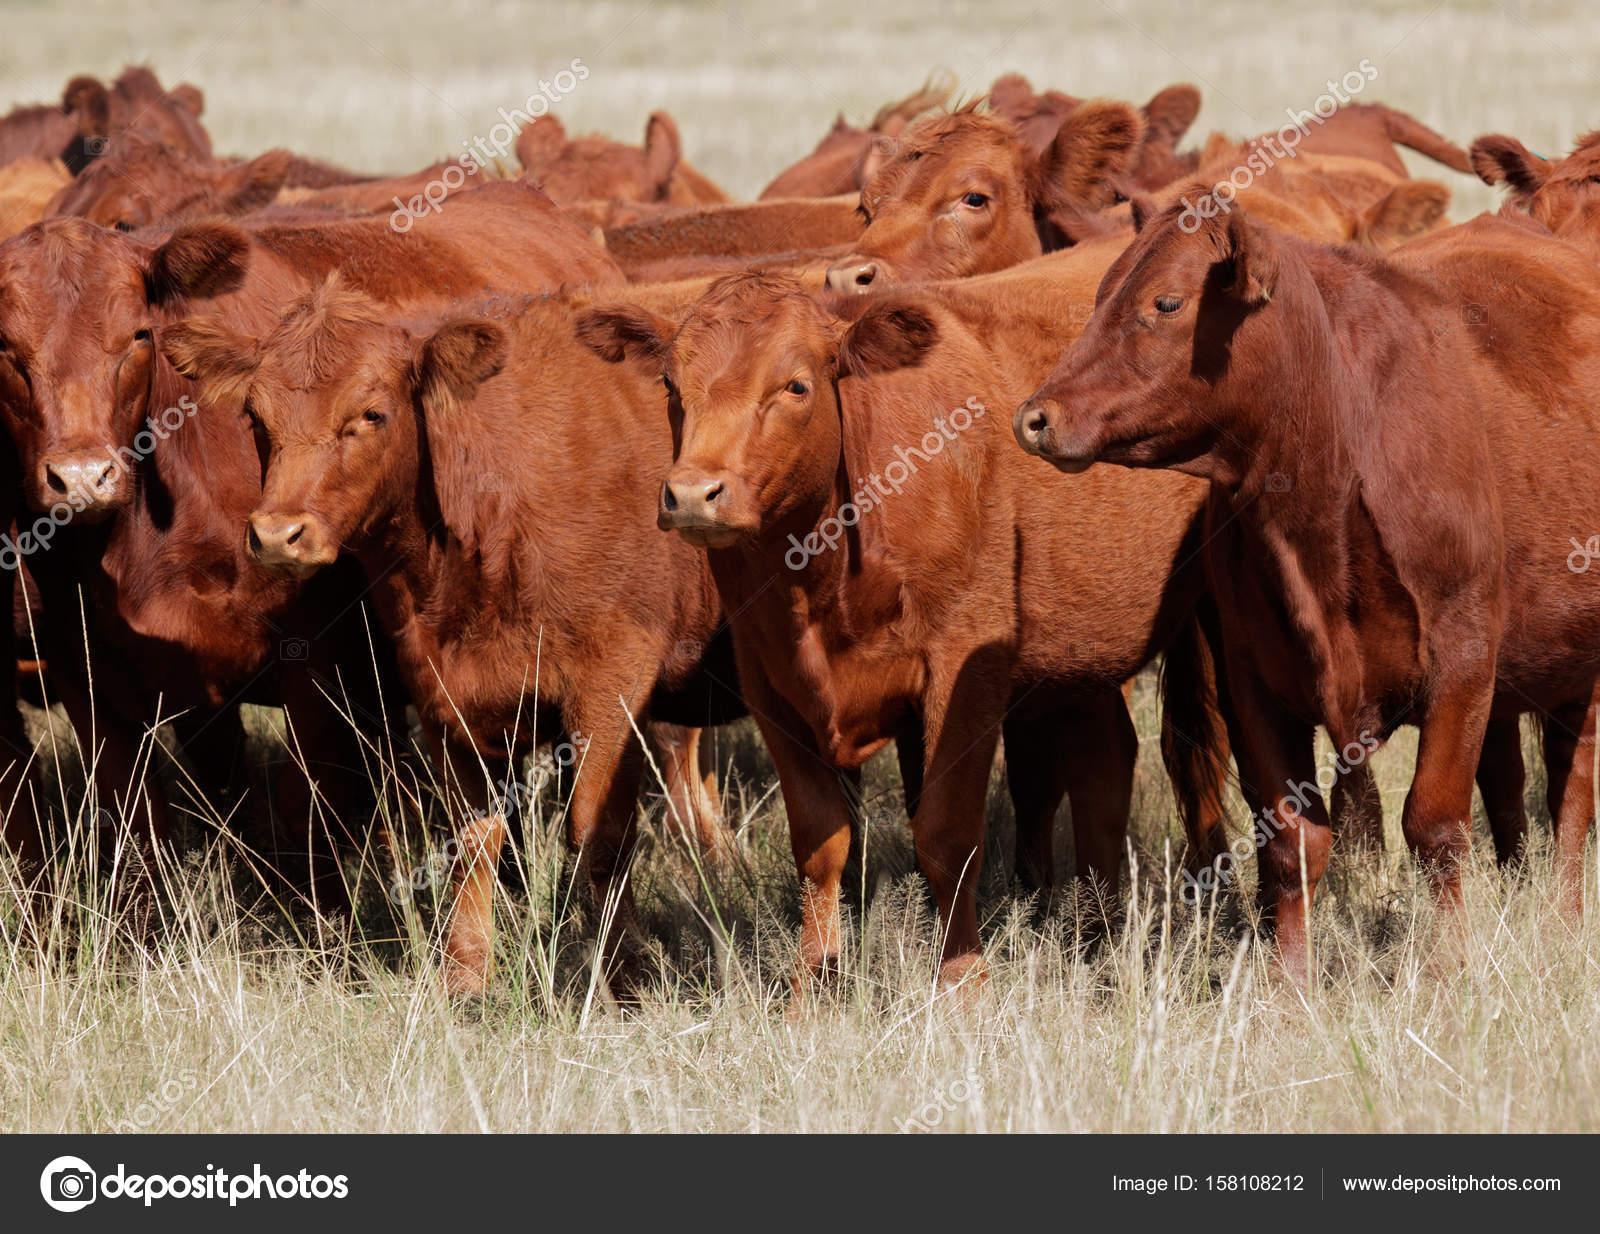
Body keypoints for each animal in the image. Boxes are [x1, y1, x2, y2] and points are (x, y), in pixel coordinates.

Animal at [162, 276, 743, 995]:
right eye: (254, 418)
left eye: (372, 415)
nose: (276, 535)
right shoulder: (446, 694)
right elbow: (472, 838)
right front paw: (465, 974)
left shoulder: (614, 682)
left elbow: (597, 830)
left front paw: (626, 974)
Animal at [576, 270, 1231, 997]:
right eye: (670, 385)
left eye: (796, 386)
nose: (693, 494)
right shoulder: (769, 681)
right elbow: (821, 840)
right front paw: (812, 988)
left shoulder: (964, 665)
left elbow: (945, 834)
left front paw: (963, 984)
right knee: (1105, 760)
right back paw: (1097, 934)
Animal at [1013, 201, 1600, 982]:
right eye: (1101, 292)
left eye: (1165, 302)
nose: (1036, 417)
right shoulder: (1254, 683)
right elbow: (1291, 845)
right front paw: (1290, 986)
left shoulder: (1464, 663)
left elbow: (1435, 826)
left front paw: (1448, 969)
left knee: (1572, 787)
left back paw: (1564, 917)